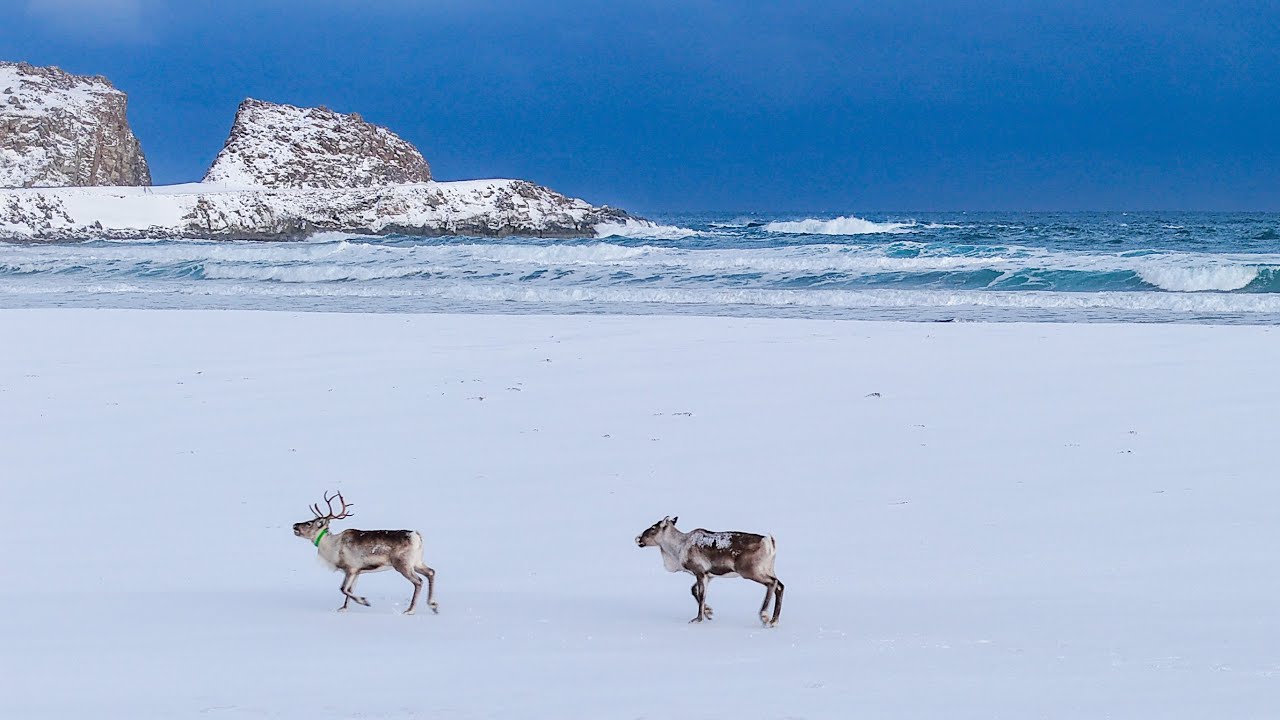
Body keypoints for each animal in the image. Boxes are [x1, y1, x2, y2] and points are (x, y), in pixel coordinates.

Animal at [291, 491, 438, 615]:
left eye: (309, 523)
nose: (295, 525)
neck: (332, 546)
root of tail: (416, 536)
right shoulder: (357, 571)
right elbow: (349, 590)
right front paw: (344, 608)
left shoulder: (351, 568)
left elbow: (343, 589)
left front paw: (364, 601)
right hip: (417, 562)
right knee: (431, 572)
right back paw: (433, 605)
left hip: (403, 564)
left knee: (418, 581)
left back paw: (410, 610)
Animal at [636, 516, 784, 627]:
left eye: (653, 527)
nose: (638, 538)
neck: (678, 548)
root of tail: (769, 541)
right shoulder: (709, 575)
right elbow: (694, 590)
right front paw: (708, 611)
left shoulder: (699, 572)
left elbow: (701, 595)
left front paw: (698, 619)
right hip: (768, 569)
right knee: (780, 586)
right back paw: (774, 621)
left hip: (750, 571)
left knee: (772, 583)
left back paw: (764, 616)